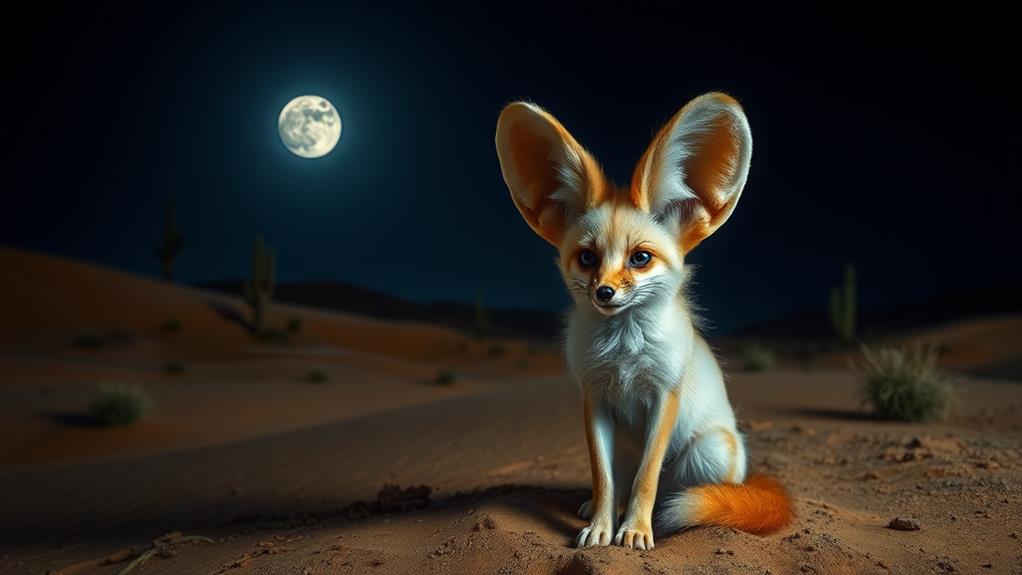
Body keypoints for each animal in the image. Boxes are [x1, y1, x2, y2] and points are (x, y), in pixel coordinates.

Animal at [494, 93, 793, 550]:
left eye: (640, 258)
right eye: (587, 258)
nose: (604, 293)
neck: (623, 355)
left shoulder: (664, 395)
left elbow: (646, 479)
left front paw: (635, 529)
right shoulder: (595, 398)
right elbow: (604, 479)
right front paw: (602, 527)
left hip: (710, 450)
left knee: (685, 490)